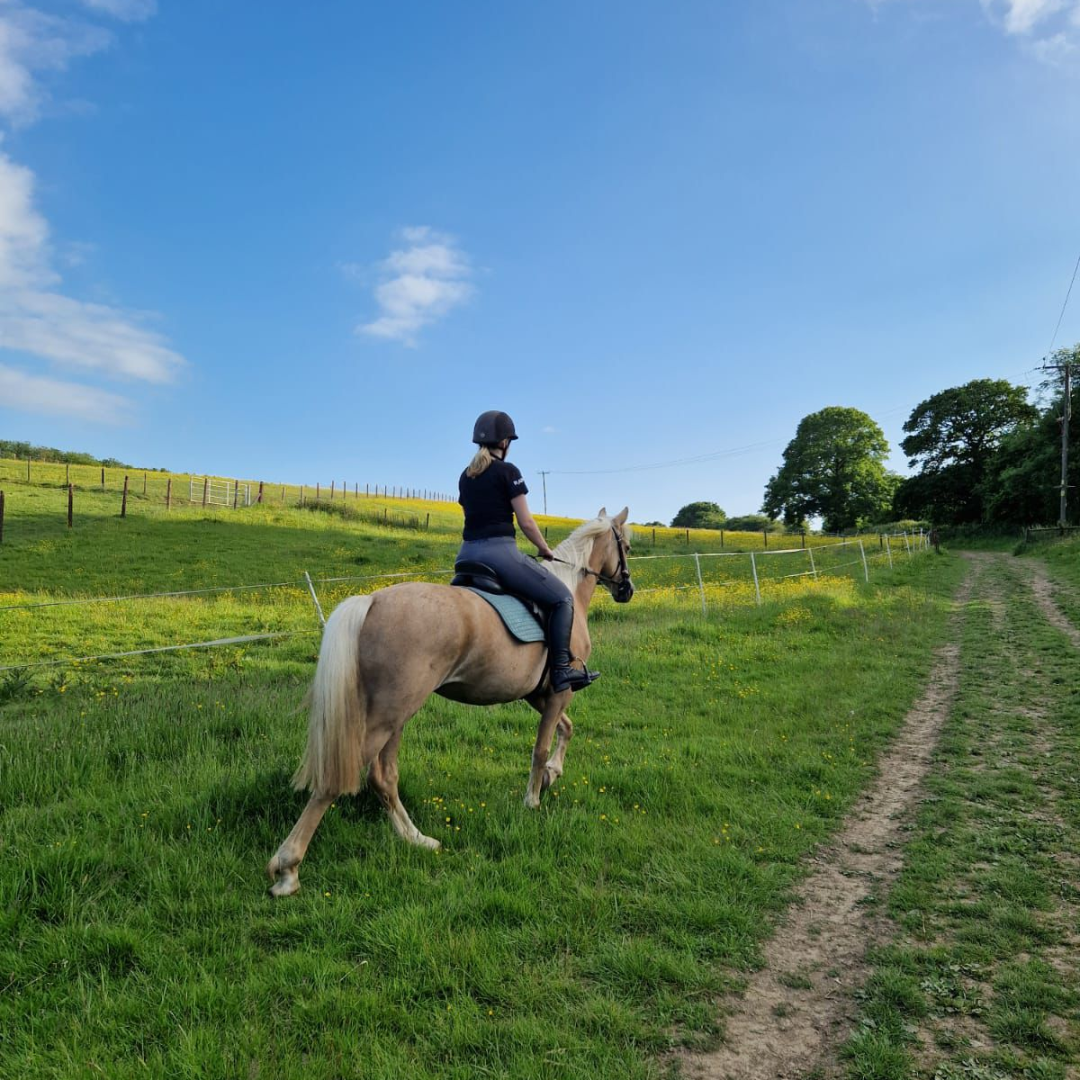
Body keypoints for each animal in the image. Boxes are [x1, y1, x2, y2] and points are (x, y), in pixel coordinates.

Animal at [266, 507, 634, 897]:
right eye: (625, 546)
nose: (627, 590)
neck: (570, 590)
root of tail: (372, 601)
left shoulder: (541, 694)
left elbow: (567, 728)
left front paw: (553, 773)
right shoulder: (558, 692)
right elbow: (541, 746)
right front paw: (533, 798)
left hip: (392, 715)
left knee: (383, 778)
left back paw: (416, 839)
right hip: (388, 716)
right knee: (335, 783)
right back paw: (288, 869)